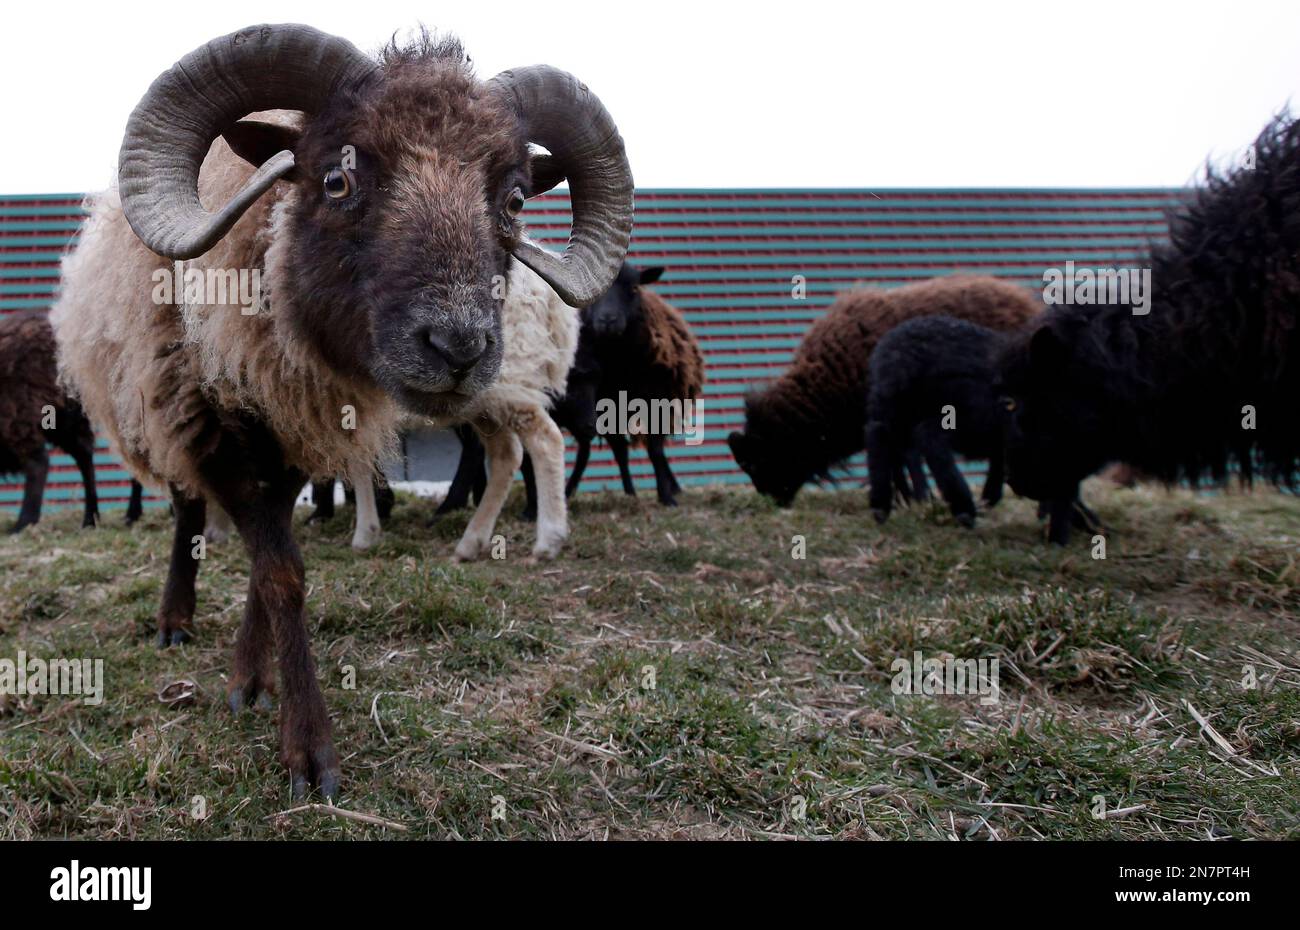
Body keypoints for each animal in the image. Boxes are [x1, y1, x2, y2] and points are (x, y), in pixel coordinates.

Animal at [0, 311, 99, 532]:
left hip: (19, 412)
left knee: (38, 463)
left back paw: (23, 523)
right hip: (65, 413)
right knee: (84, 453)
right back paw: (90, 518)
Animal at [50, 24, 633, 798]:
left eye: (513, 200)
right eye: (337, 180)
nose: (459, 346)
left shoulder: (305, 432)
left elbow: (272, 563)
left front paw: (253, 678)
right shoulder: (214, 428)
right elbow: (279, 570)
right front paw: (306, 747)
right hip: (160, 402)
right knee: (187, 508)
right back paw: (175, 617)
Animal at [727, 276, 1044, 506]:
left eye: (758, 458)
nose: (772, 500)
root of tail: (1027, 305)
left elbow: (904, 456)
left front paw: (917, 498)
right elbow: (895, 458)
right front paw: (905, 497)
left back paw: (991, 496)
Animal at [865, 315, 1097, 544]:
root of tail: (890, 347)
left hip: (899, 407)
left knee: (880, 433)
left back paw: (882, 505)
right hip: (963, 416)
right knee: (926, 436)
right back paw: (962, 508)